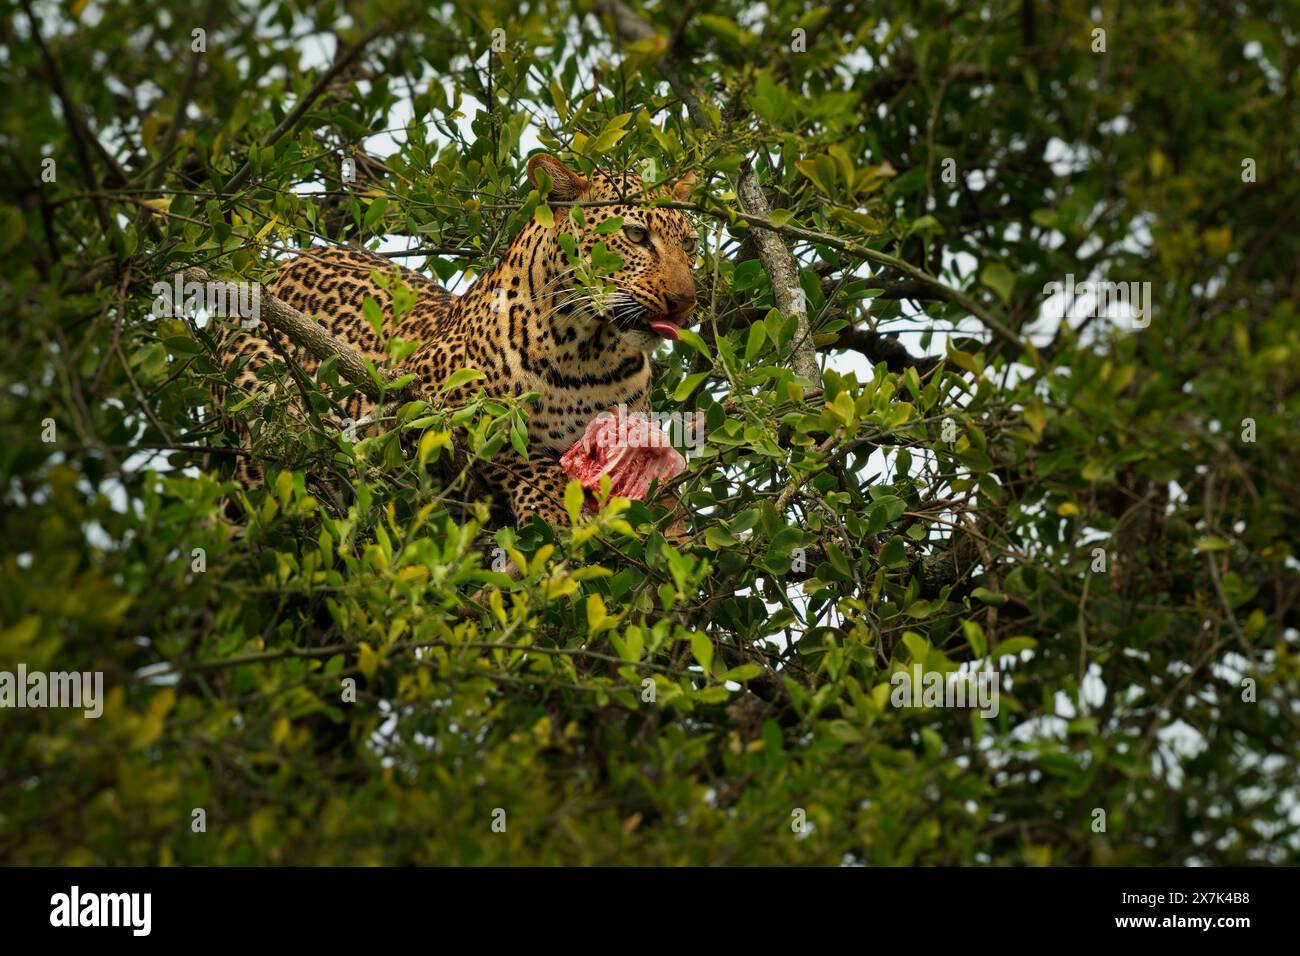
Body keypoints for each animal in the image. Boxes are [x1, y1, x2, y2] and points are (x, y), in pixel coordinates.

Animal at [220, 153, 698, 530]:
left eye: (690, 244)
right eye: (635, 235)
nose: (684, 303)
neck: (590, 354)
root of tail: (279, 268)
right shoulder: (412, 399)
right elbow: (507, 446)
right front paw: (551, 505)